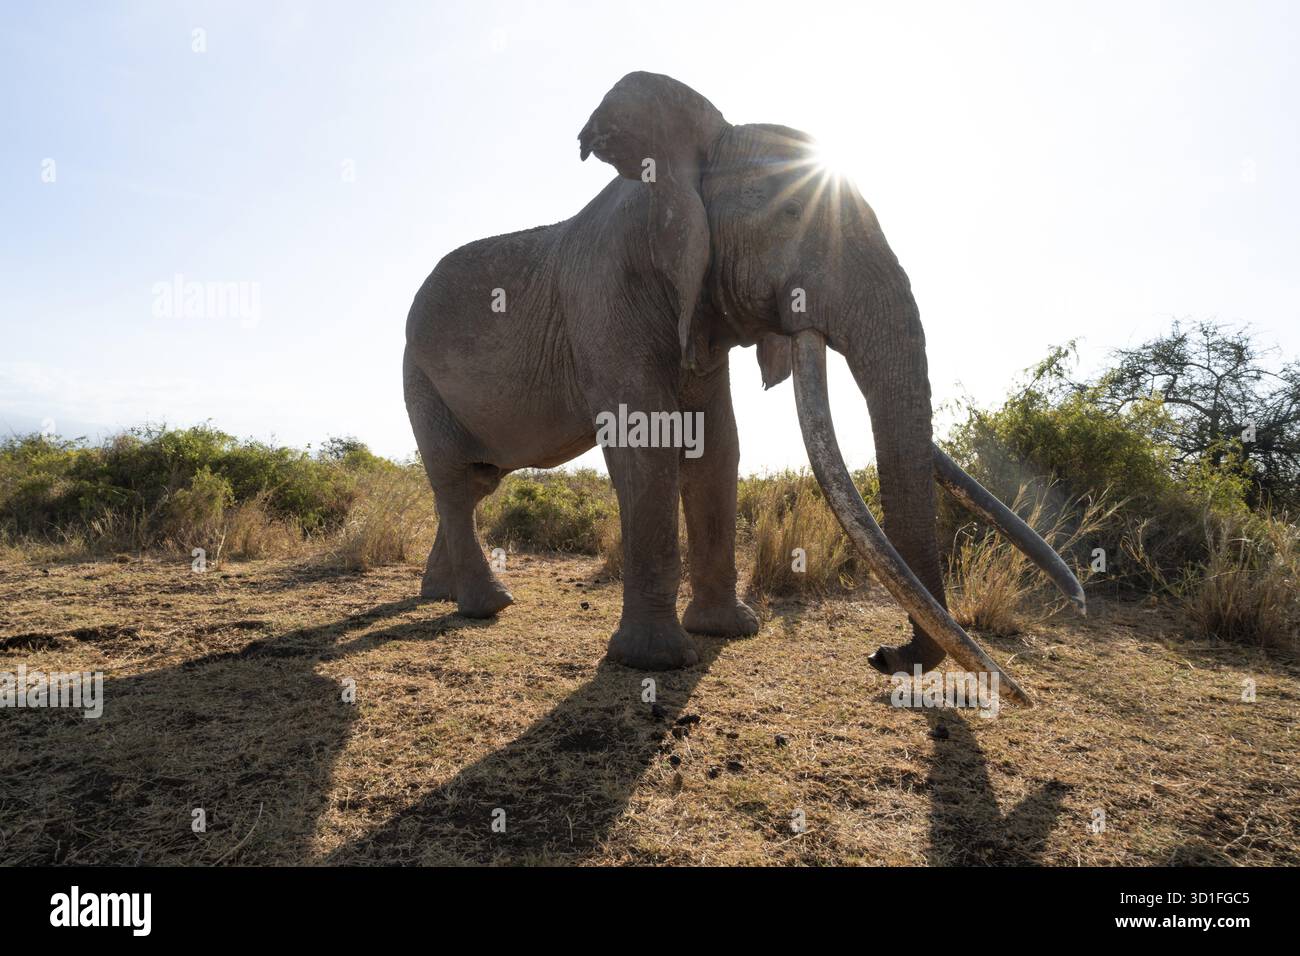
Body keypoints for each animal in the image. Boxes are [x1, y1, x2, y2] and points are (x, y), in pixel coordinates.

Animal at [403, 72, 1084, 704]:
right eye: (790, 215)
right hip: (417, 375)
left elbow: (716, 446)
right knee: (456, 481)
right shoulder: (606, 294)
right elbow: (646, 444)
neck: (680, 170)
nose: (881, 654)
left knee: (476, 483)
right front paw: (655, 661)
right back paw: (487, 607)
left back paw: (440, 594)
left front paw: (727, 631)